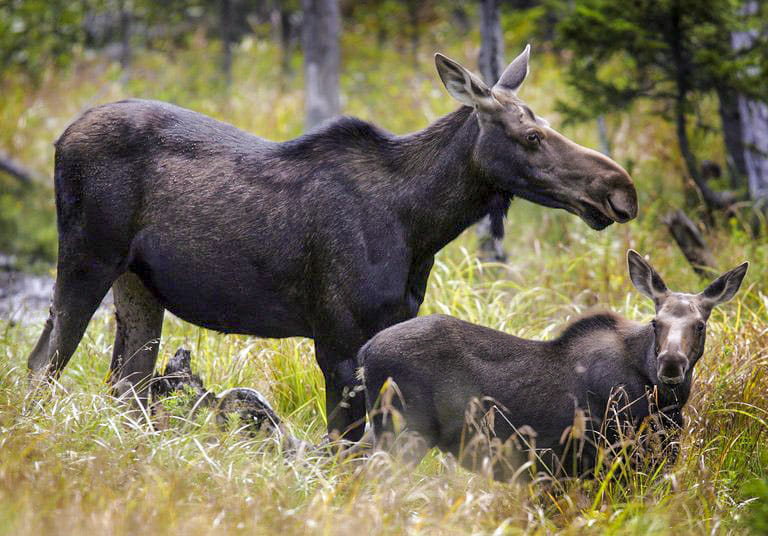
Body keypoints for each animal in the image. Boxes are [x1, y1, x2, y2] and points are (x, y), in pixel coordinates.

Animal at [26, 45, 636, 441]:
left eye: (548, 123)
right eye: (532, 136)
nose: (621, 189)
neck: (420, 225)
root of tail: (58, 138)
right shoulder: (338, 340)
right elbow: (345, 447)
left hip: (137, 286)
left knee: (123, 386)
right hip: (85, 260)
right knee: (42, 362)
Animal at [360, 250, 748, 478]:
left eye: (700, 324)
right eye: (656, 322)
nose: (670, 363)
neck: (667, 403)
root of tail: (364, 354)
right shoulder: (614, 457)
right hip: (402, 433)